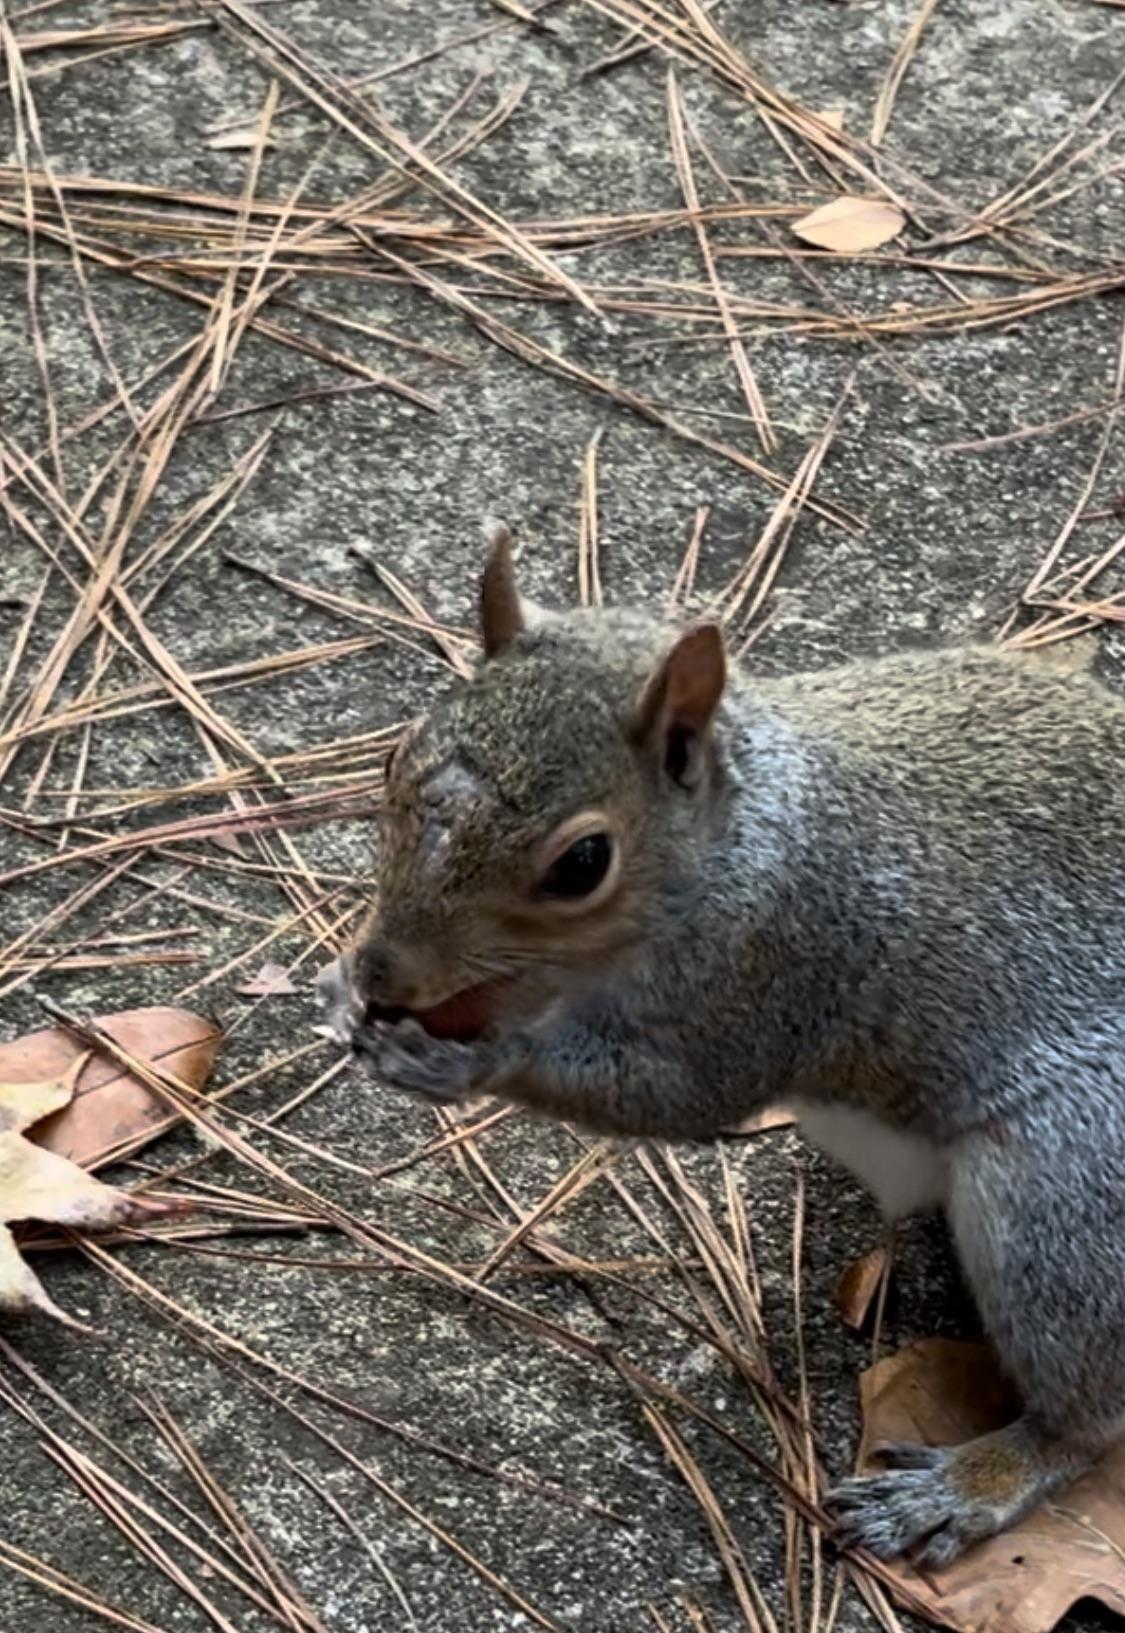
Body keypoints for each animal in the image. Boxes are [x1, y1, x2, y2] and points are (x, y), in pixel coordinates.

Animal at [318, 528, 1125, 1570]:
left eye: (582, 863)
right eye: (392, 761)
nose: (385, 970)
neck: (738, 836)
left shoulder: (778, 964)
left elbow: (681, 1095)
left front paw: (464, 1066)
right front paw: (343, 990)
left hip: (1063, 1195)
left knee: (1089, 1412)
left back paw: (966, 1484)